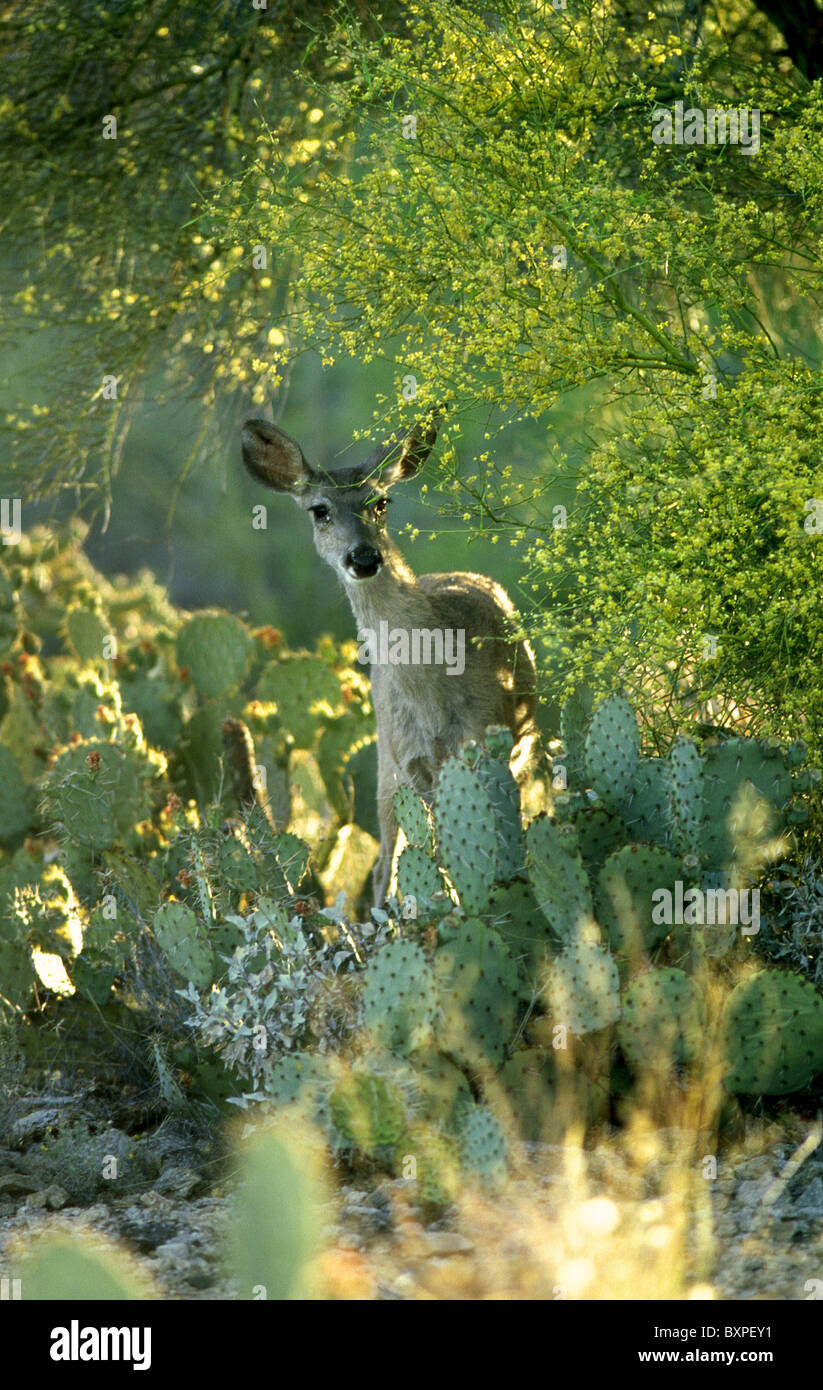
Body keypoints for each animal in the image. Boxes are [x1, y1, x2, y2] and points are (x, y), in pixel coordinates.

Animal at [240, 409, 538, 905]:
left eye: (380, 503)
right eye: (320, 511)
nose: (363, 557)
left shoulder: (483, 742)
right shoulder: (413, 762)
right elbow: (439, 859)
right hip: (386, 762)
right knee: (384, 865)